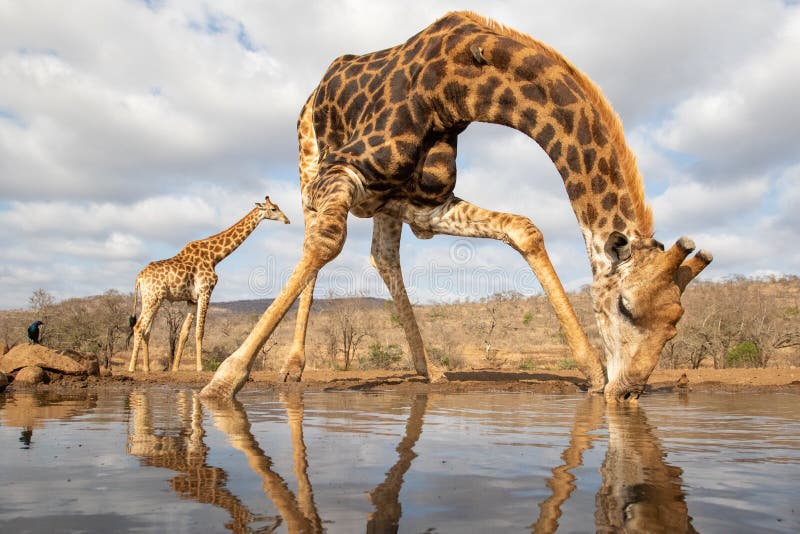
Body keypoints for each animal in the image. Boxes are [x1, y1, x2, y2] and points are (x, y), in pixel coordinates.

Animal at [127, 196, 289, 373]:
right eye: (273, 209)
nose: (287, 220)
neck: (214, 257)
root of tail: (139, 277)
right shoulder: (206, 291)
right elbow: (200, 331)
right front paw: (200, 367)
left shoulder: (191, 299)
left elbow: (184, 332)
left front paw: (175, 368)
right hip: (153, 297)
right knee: (139, 327)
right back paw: (132, 368)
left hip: (153, 299)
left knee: (146, 330)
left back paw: (147, 368)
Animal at [201, 11, 712, 401]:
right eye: (625, 306)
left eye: (675, 325)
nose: (627, 391)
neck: (453, 89)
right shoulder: (342, 169)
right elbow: (325, 244)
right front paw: (223, 382)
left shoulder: (426, 204)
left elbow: (523, 227)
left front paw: (591, 371)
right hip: (310, 161)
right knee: (318, 240)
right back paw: (292, 367)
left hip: (382, 202)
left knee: (383, 257)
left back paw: (430, 370)